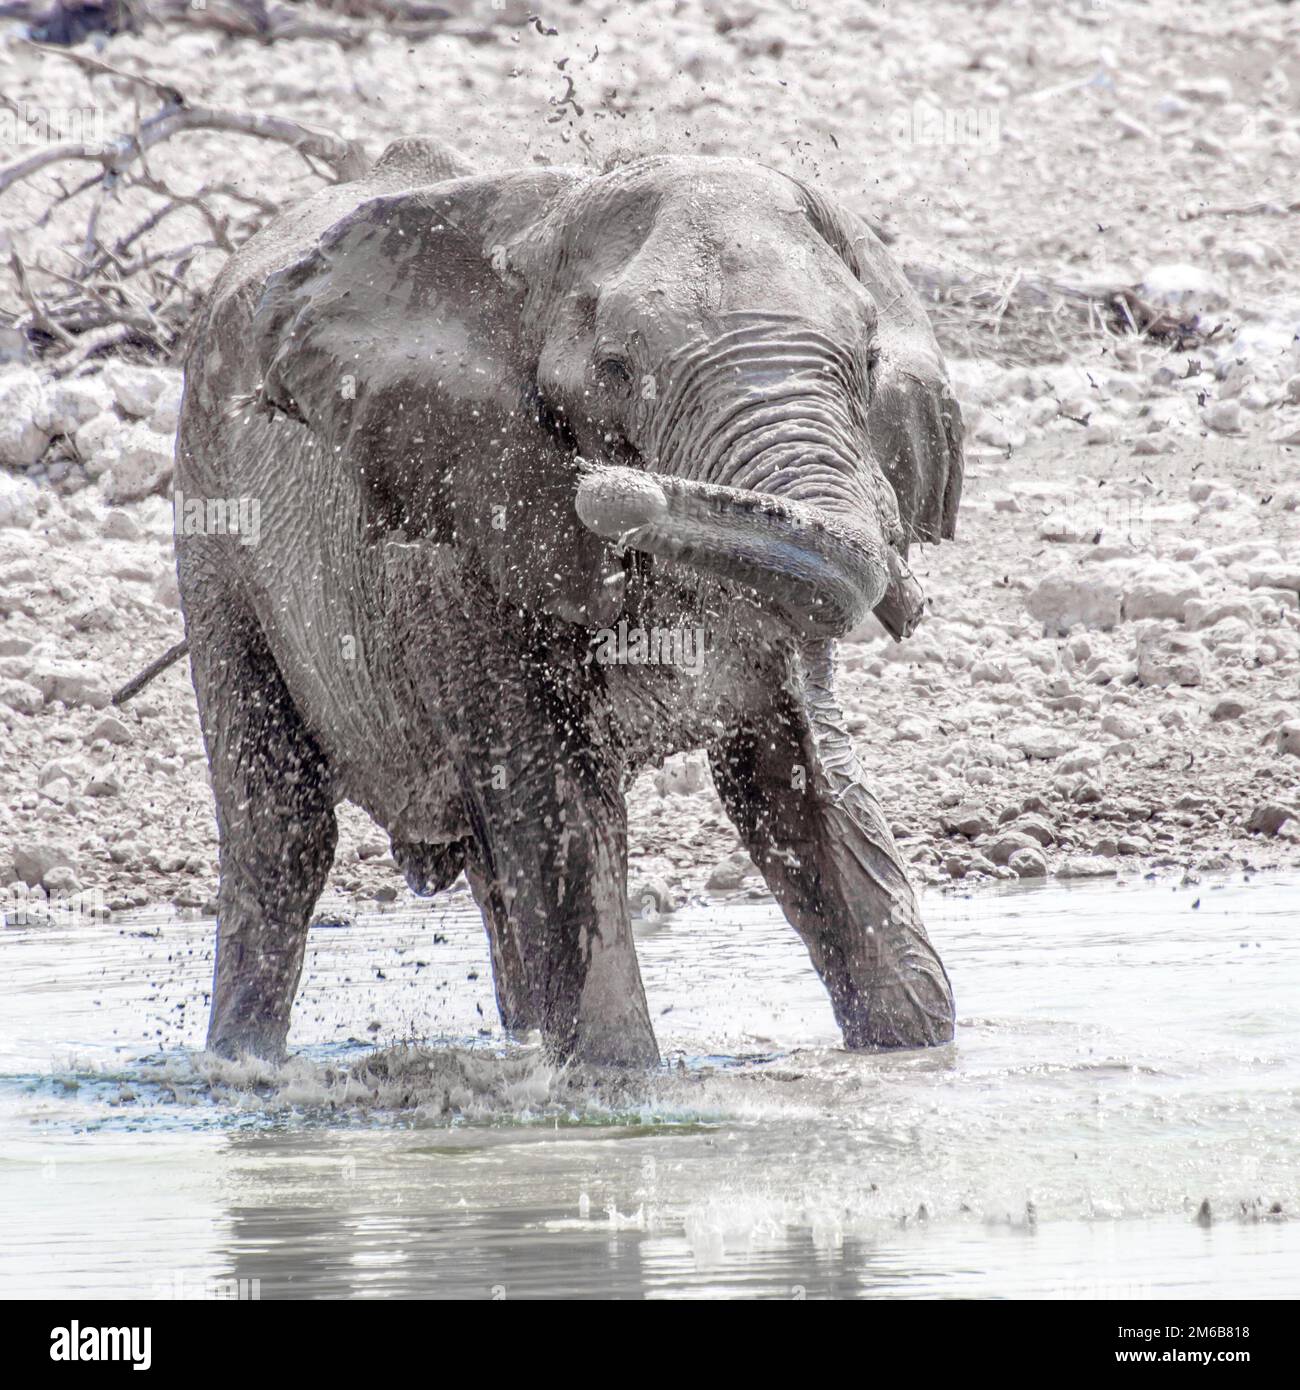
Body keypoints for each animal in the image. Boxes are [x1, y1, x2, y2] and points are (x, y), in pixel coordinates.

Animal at [174, 135, 964, 1067]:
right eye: (615, 372)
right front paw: (615, 1081)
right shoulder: (464, 539)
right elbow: (560, 808)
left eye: (871, 360)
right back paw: (240, 1070)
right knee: (281, 834)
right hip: (213, 527)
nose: (612, 490)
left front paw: (918, 1049)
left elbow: (793, 786)